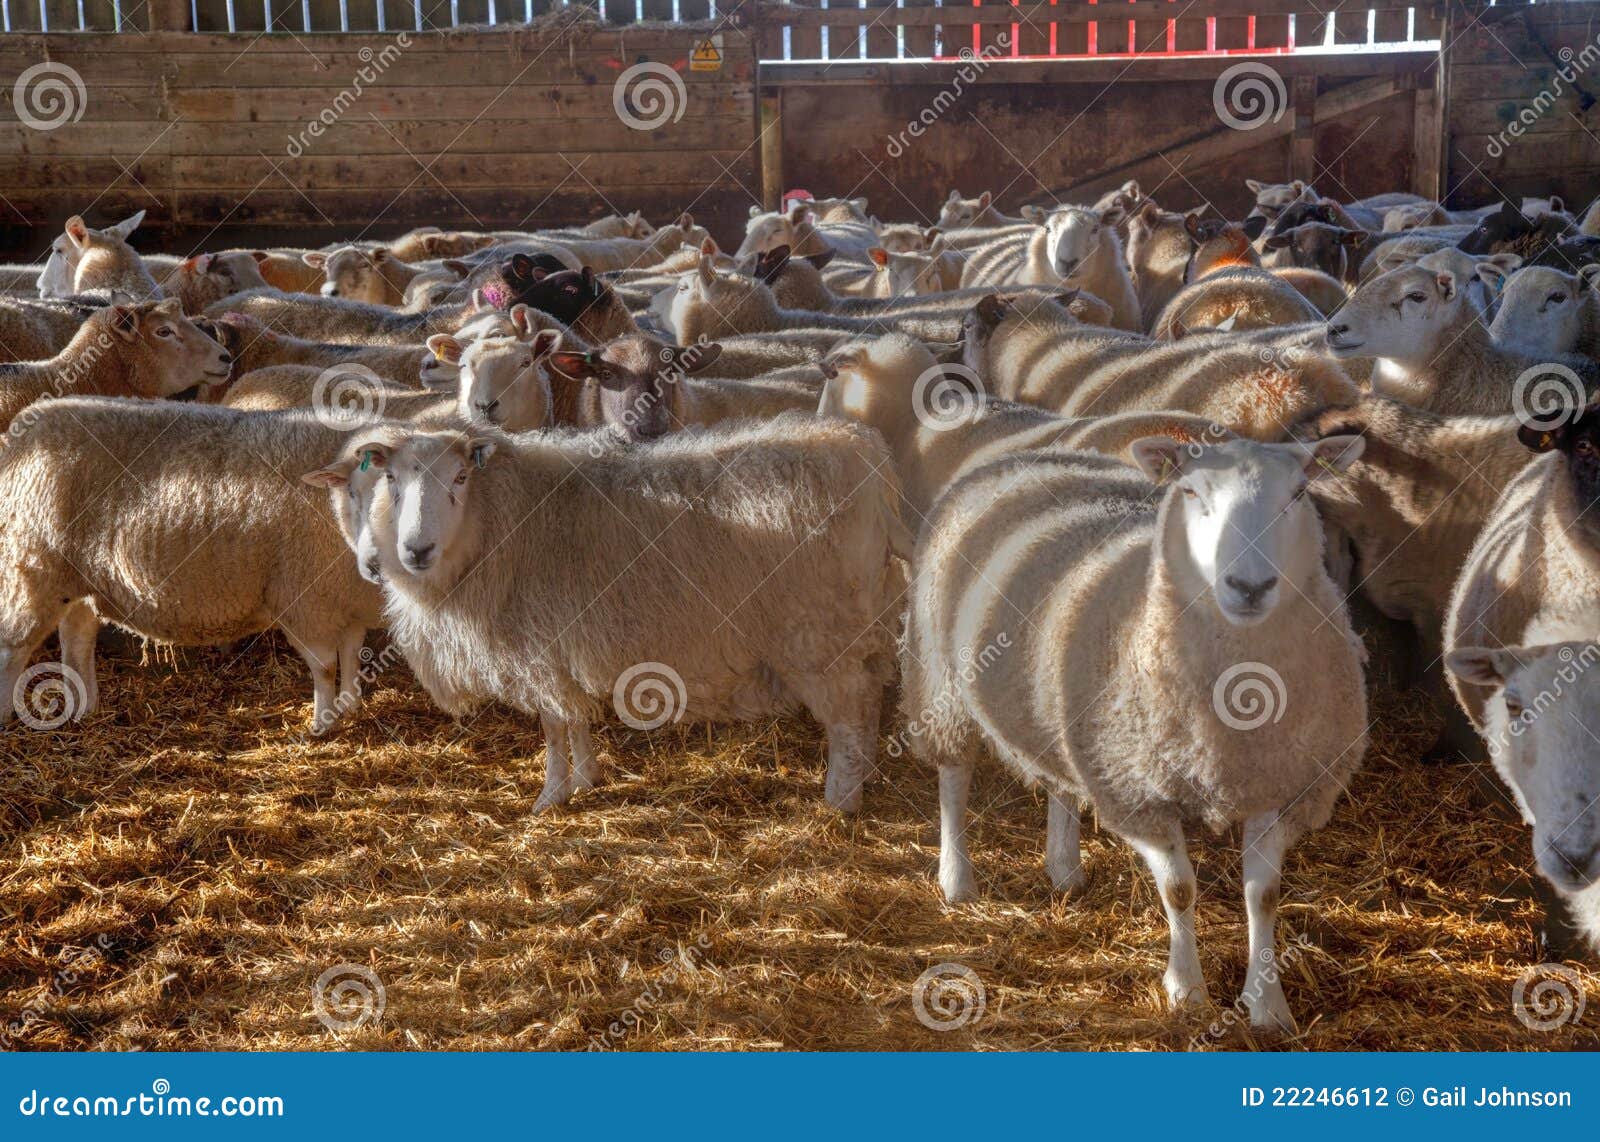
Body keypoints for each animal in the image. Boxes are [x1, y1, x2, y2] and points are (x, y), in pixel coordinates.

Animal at [0, 398, 381, 734]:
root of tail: (22, 430)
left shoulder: (348, 600)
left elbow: (351, 653)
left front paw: (350, 706)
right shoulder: (305, 598)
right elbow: (325, 665)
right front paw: (323, 723)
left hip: (80, 578)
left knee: (75, 636)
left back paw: (86, 708)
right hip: (32, 567)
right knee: (13, 646)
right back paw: (8, 715)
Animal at [352, 415, 904, 813]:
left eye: (461, 477)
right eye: (390, 478)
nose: (415, 550)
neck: (504, 521)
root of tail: (866, 457)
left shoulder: (537, 650)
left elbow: (554, 727)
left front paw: (551, 796)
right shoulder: (557, 650)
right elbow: (574, 721)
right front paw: (587, 778)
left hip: (819, 635)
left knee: (848, 715)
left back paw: (841, 801)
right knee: (869, 703)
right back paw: (865, 778)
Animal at [903, 430, 1367, 1030]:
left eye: (1299, 493)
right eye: (1191, 491)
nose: (1249, 585)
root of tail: (1027, 454)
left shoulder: (1283, 786)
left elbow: (1263, 895)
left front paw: (1267, 1005)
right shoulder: (1138, 790)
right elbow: (1180, 889)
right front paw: (1187, 990)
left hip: (1060, 699)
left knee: (1060, 780)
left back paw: (1064, 868)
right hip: (941, 677)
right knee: (955, 776)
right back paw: (957, 880)